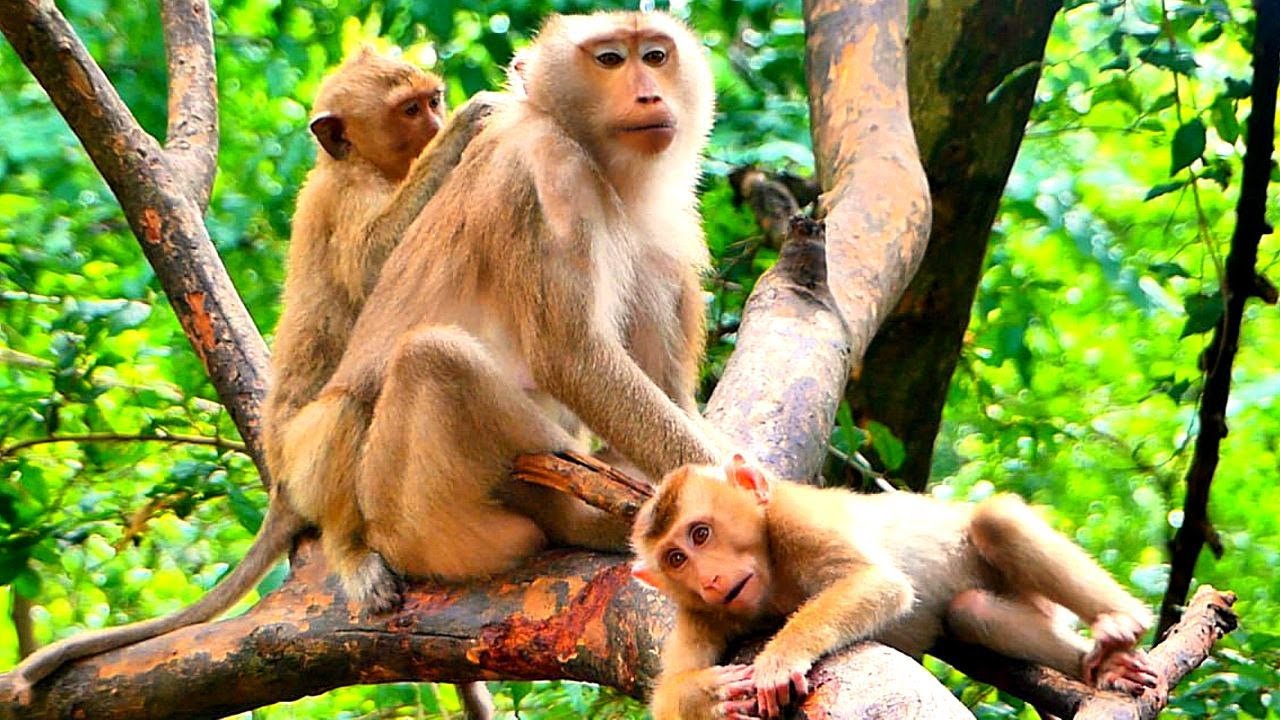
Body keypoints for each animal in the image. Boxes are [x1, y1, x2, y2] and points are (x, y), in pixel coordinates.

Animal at [4, 48, 503, 703]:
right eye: (410, 110)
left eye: (431, 99)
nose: (437, 121)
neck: (356, 164)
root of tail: (282, 486)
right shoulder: (346, 200)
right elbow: (377, 268)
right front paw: (468, 130)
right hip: (302, 458)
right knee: (347, 408)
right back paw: (349, 549)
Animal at [271, 9, 724, 615]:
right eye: (609, 59)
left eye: (655, 55)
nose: (650, 94)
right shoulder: (551, 178)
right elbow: (571, 356)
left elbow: (666, 383)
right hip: (413, 525)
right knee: (434, 358)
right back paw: (574, 517)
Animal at [630, 456, 1160, 720]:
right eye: (676, 559)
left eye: (701, 534)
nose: (711, 579)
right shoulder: (702, 613)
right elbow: (666, 699)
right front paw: (712, 695)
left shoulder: (793, 518)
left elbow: (877, 582)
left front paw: (777, 662)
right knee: (971, 611)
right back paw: (1099, 666)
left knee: (996, 520)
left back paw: (1120, 624)